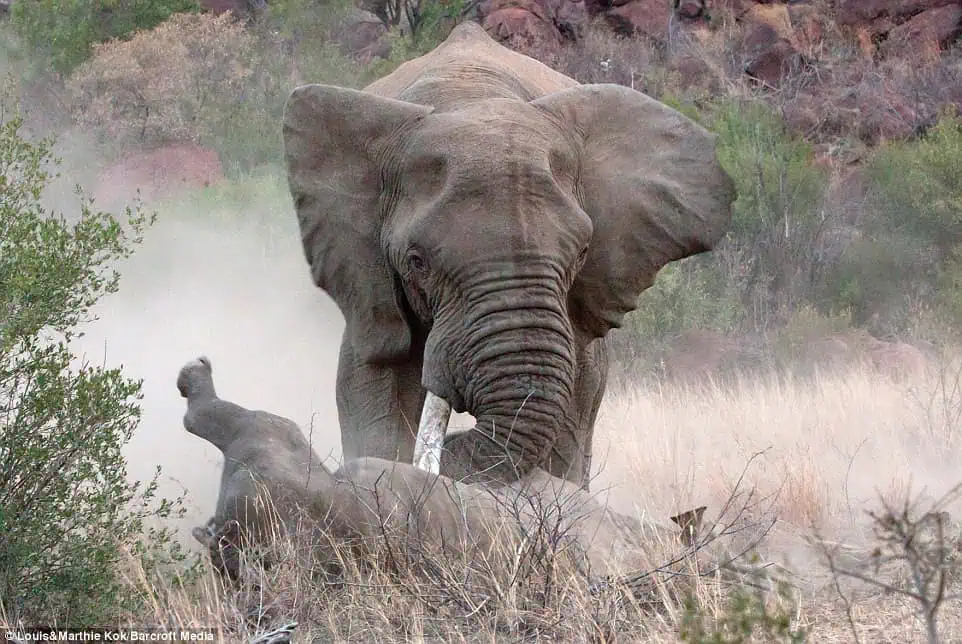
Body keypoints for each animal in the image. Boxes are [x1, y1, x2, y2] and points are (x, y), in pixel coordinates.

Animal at [282, 21, 736, 489]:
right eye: (416, 262)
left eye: (582, 252)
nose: (456, 446)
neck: (471, 97)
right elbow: (374, 383)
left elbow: (575, 402)